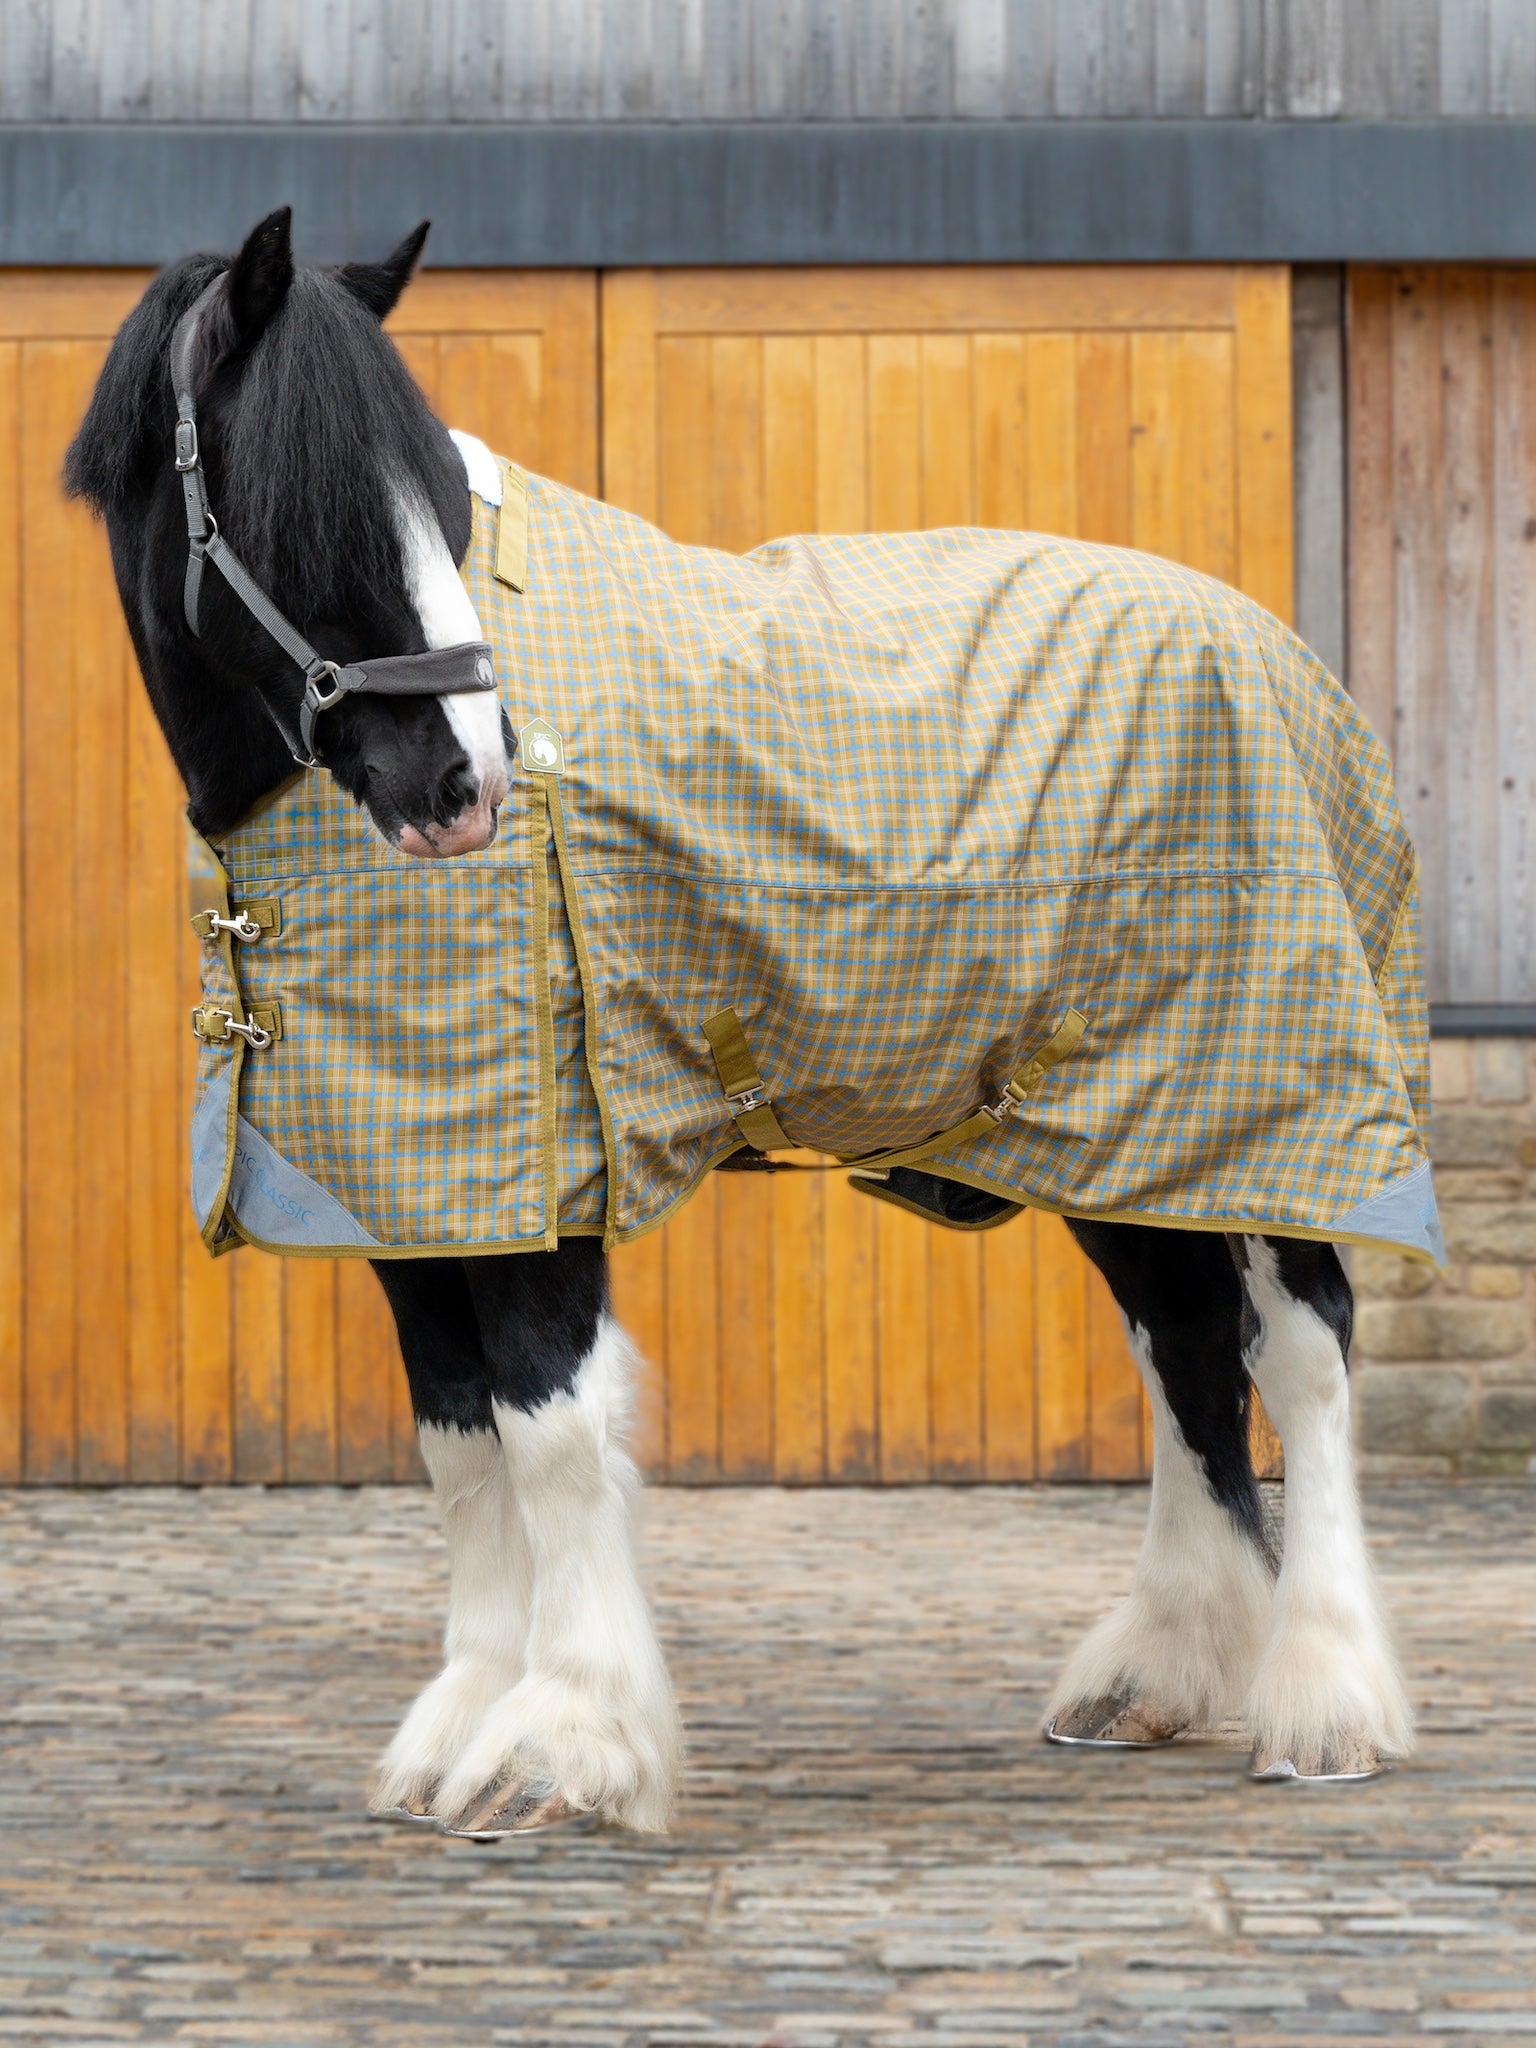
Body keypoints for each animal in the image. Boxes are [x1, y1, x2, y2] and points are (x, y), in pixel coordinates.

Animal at [66, 208, 1416, 1837]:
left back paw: (1327, 1700)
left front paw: (561, 1743)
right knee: (1189, 1348)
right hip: (1126, 1132)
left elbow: (552, 1430)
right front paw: (463, 1721)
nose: (465, 785)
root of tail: (1267, 645)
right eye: (300, 497)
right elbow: (461, 1445)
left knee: (1305, 1352)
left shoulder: (542, 1174)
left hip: (1269, 1105)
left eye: (431, 502)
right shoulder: (412, 1188)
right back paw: (1157, 1670)